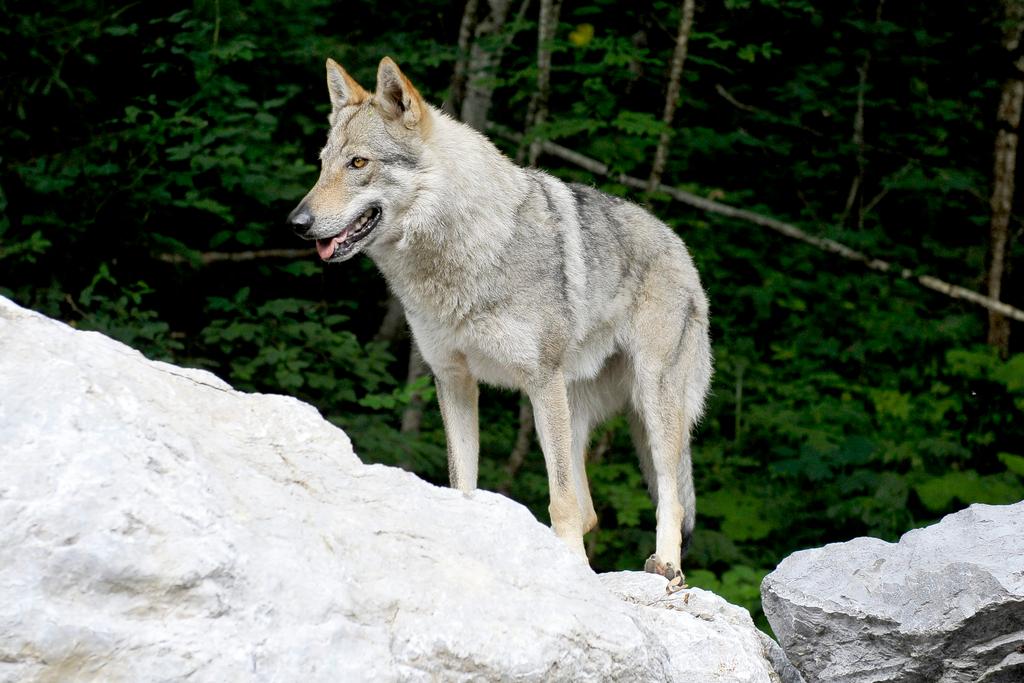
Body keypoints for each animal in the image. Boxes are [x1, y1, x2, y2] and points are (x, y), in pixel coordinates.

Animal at [288, 57, 712, 579]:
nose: (297, 223)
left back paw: (665, 567)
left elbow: (560, 500)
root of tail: (678, 244)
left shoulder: (540, 379)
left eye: (359, 163)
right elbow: (463, 485)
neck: (462, 256)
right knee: (591, 509)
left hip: (648, 401)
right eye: (323, 164)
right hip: (572, 408)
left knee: (667, 498)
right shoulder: (452, 381)